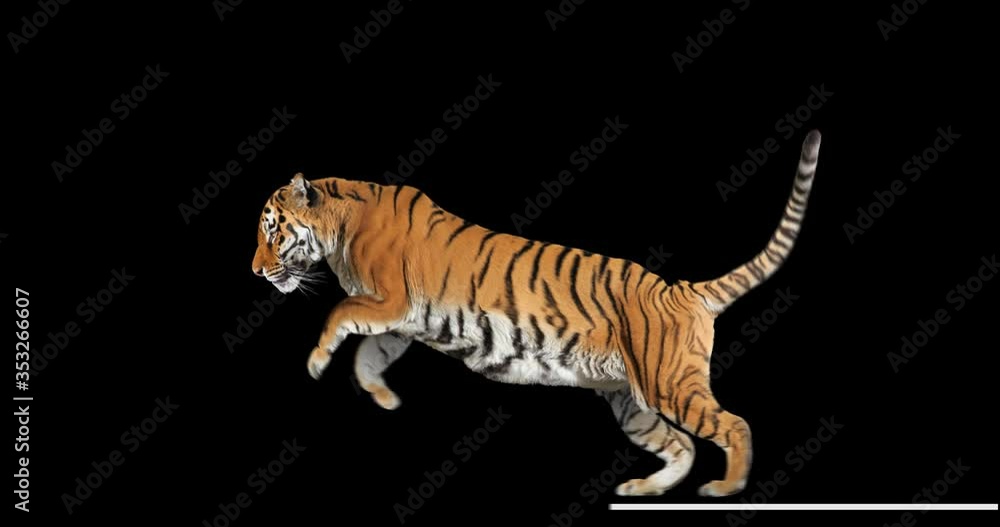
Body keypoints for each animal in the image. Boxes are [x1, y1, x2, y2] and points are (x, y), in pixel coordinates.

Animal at [250, 130, 822, 497]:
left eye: (272, 230)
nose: (255, 271)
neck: (339, 231)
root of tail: (682, 290)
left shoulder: (390, 300)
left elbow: (339, 313)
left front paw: (316, 362)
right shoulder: (399, 321)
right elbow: (369, 351)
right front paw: (385, 397)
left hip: (669, 383)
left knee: (734, 424)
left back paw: (726, 487)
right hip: (632, 402)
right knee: (679, 445)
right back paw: (642, 488)